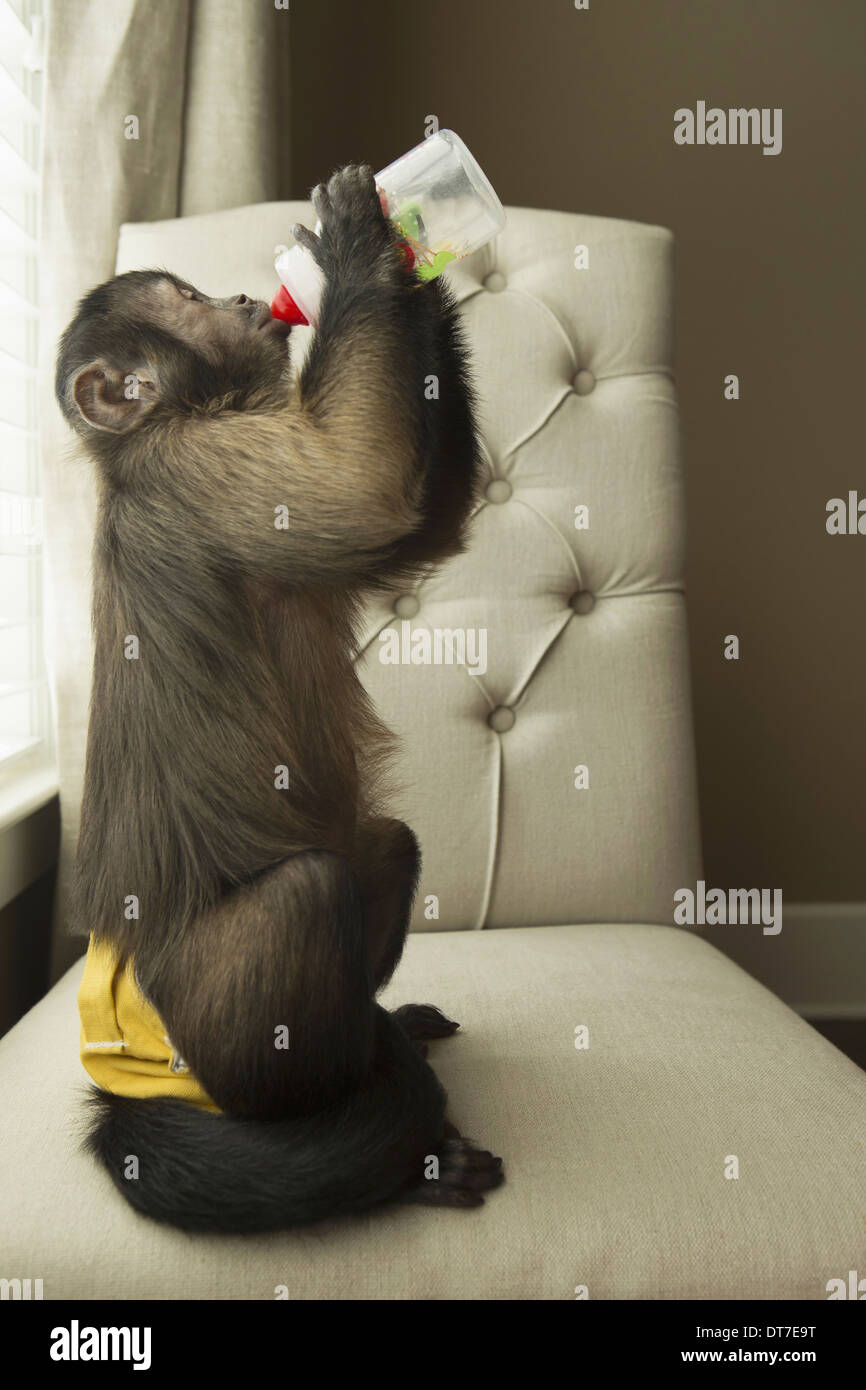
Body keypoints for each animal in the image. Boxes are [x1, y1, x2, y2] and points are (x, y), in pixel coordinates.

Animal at [54, 164, 503, 1233]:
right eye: (184, 298)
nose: (243, 297)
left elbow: (419, 523)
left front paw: (413, 252)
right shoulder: (188, 467)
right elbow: (364, 493)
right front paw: (351, 240)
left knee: (384, 845)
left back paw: (380, 1038)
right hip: (205, 1024)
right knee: (308, 892)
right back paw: (367, 1129)